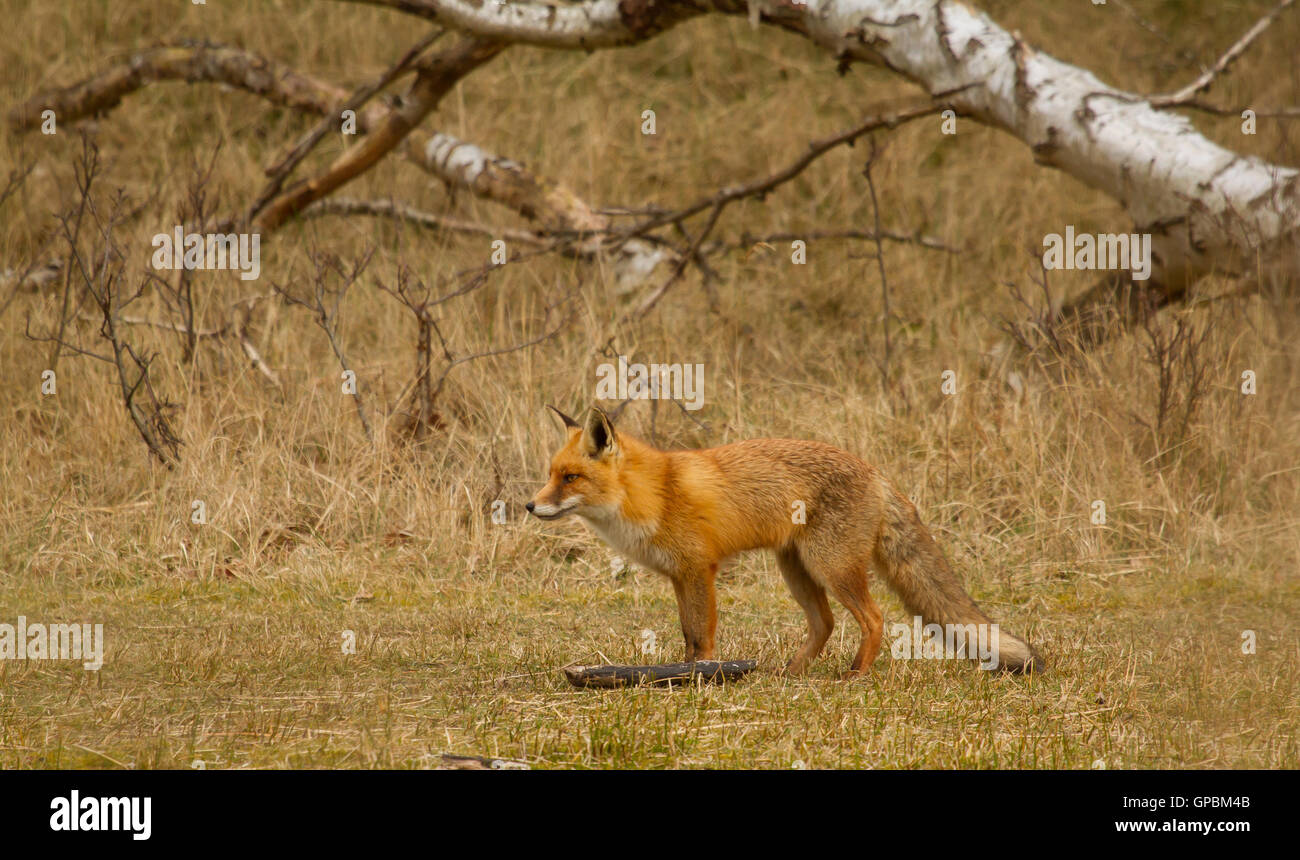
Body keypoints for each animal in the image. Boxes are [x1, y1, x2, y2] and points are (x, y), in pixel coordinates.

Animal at [527, 405, 1045, 677]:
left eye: (571, 478)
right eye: (550, 475)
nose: (531, 506)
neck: (653, 493)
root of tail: (875, 472)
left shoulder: (699, 571)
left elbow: (702, 636)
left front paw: (702, 677)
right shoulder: (679, 576)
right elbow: (688, 635)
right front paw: (684, 672)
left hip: (830, 567)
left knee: (874, 618)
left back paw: (856, 674)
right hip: (796, 570)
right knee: (825, 624)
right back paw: (793, 672)